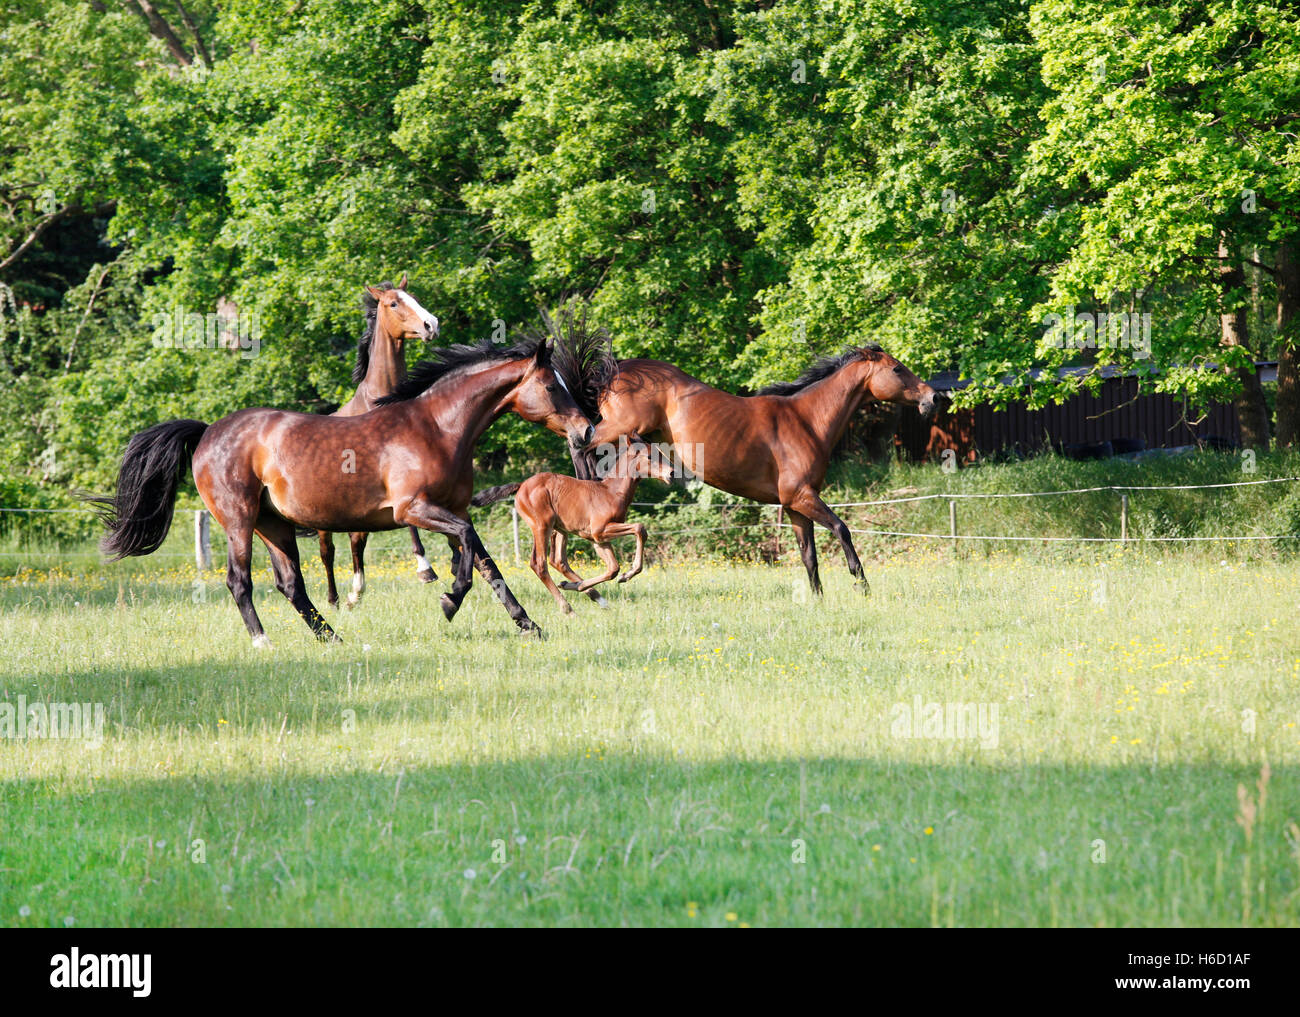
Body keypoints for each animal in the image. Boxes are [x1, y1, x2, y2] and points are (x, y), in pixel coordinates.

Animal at [92, 338, 594, 644]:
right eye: (551, 386)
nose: (587, 430)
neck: (437, 428)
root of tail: (208, 431)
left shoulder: (454, 511)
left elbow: (488, 565)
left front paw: (529, 624)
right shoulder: (415, 510)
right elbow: (470, 556)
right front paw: (450, 601)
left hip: (275, 525)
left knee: (291, 585)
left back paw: (331, 636)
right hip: (239, 520)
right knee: (240, 581)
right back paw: (263, 640)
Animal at [318, 275, 441, 610]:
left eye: (415, 297)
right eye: (394, 303)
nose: (431, 325)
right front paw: (425, 570)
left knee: (354, 541)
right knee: (327, 551)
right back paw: (334, 599)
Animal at [471, 438, 674, 614]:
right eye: (650, 456)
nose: (671, 473)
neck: (611, 492)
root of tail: (521, 486)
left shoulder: (598, 539)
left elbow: (613, 569)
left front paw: (619, 577)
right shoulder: (600, 531)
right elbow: (640, 528)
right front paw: (630, 572)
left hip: (560, 530)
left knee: (558, 561)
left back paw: (591, 595)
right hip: (542, 526)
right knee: (539, 564)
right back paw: (568, 608)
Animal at [563, 345, 940, 595]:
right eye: (897, 369)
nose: (933, 398)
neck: (807, 421)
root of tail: (615, 371)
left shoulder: (794, 506)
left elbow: (809, 556)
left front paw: (818, 599)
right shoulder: (804, 497)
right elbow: (842, 529)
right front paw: (861, 583)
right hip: (620, 428)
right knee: (580, 444)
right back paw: (588, 492)